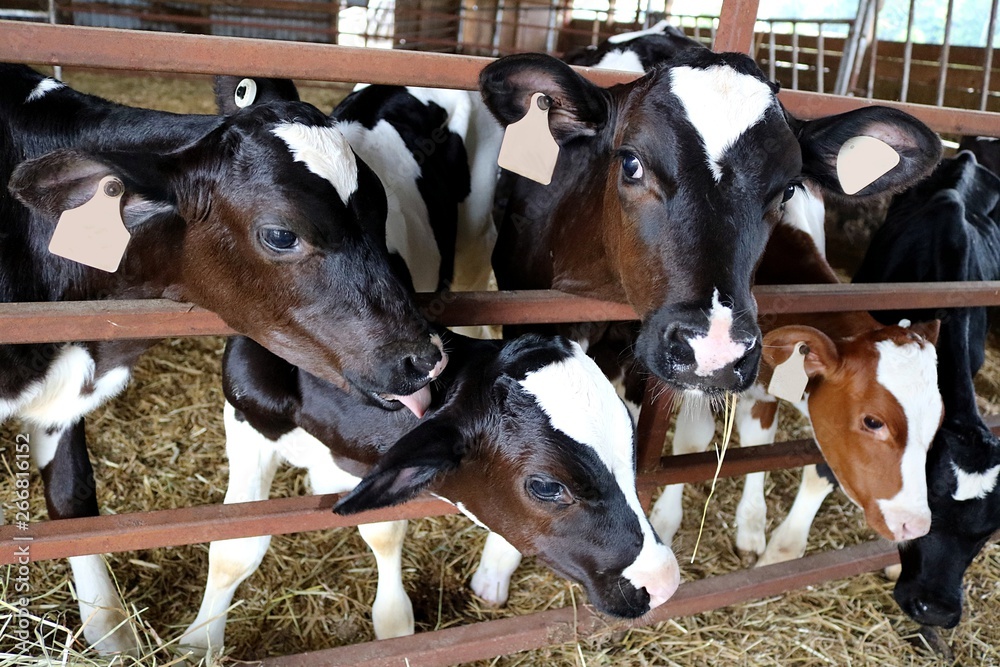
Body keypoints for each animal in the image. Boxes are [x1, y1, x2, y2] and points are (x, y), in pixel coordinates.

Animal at [178, 76, 679, 658]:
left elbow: (383, 532)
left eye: (630, 448)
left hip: (475, 237)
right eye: (547, 487)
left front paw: (393, 621)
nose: (664, 580)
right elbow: (233, 545)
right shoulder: (246, 415)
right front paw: (199, 641)